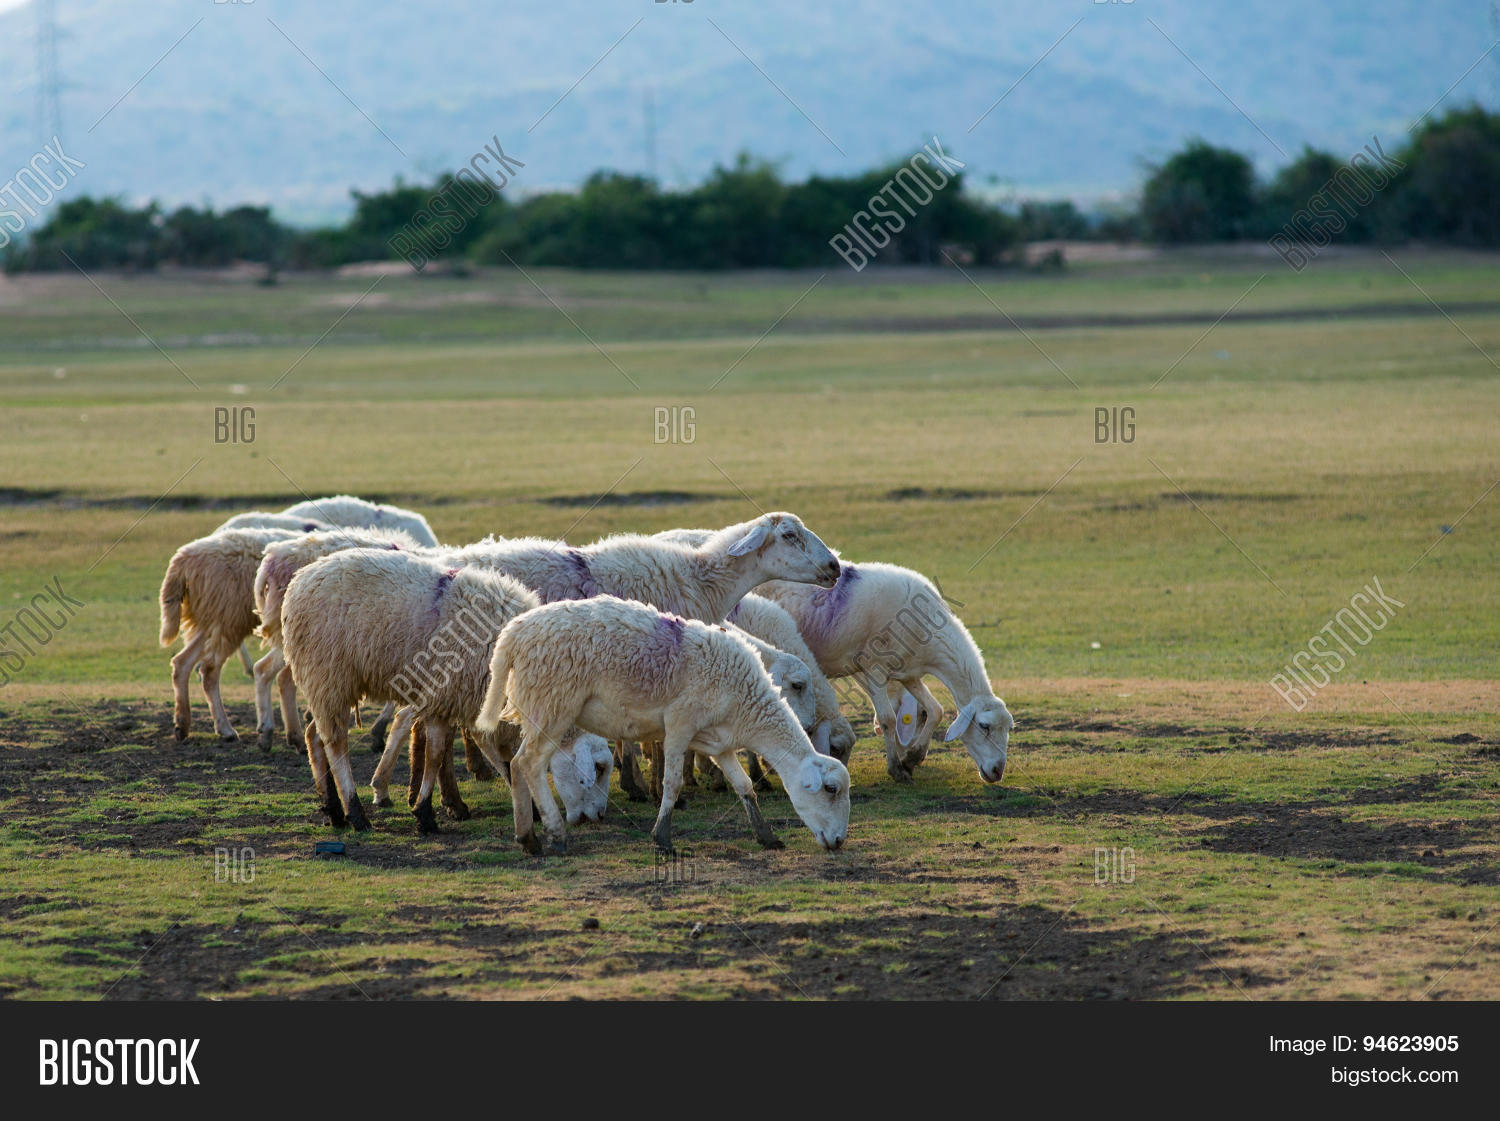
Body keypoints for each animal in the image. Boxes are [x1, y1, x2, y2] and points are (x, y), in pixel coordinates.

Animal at [158, 527, 305, 742]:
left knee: (182, 663)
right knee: (209, 671)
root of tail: (183, 557)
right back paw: (226, 729)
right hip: (229, 618)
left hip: (215, 618)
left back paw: (183, 725)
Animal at [278, 548, 539, 833]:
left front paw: (425, 810)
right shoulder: (445, 694)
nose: (537, 815)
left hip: (326, 685)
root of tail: (300, 580)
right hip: (328, 675)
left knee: (315, 735)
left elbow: (436, 753)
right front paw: (426, 814)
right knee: (335, 743)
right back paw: (356, 813)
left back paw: (334, 810)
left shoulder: (444, 699)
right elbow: (436, 753)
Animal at [475, 595, 851, 857]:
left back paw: (528, 838)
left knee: (517, 763)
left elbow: (744, 786)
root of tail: (512, 634)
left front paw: (766, 836)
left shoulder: (718, 743)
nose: (838, 841)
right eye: (831, 790)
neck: (746, 705)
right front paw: (663, 839)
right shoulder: (680, 725)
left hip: (540, 708)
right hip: (553, 705)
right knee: (529, 763)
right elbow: (672, 784)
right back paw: (555, 836)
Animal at [759, 561, 1013, 785]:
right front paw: (896, 768)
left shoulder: (909, 674)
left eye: (1009, 728)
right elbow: (888, 719)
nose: (998, 771)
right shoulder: (874, 668)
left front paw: (912, 758)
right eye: (984, 726)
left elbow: (935, 710)